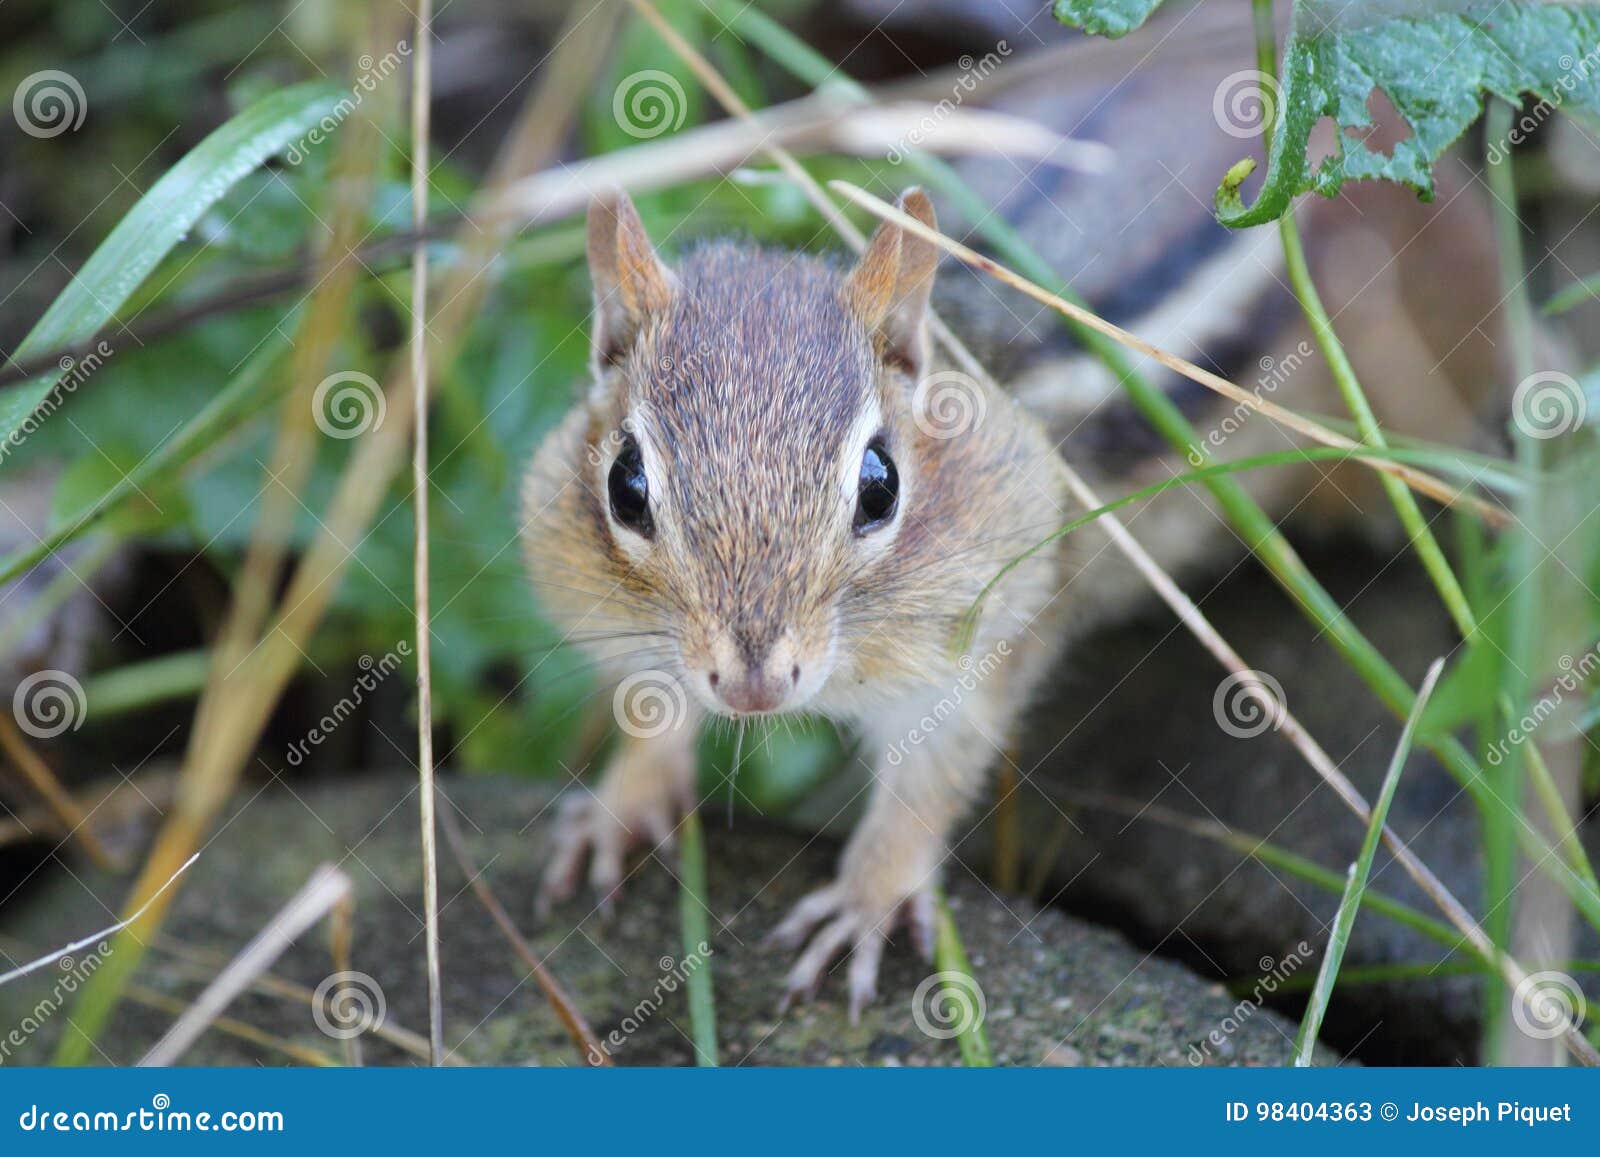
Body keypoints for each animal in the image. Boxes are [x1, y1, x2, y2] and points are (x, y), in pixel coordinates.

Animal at [521, 16, 1513, 1018]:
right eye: (626, 487)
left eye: (879, 485)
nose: (754, 684)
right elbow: (652, 710)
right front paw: (618, 805)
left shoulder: (978, 650)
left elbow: (928, 784)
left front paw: (864, 900)